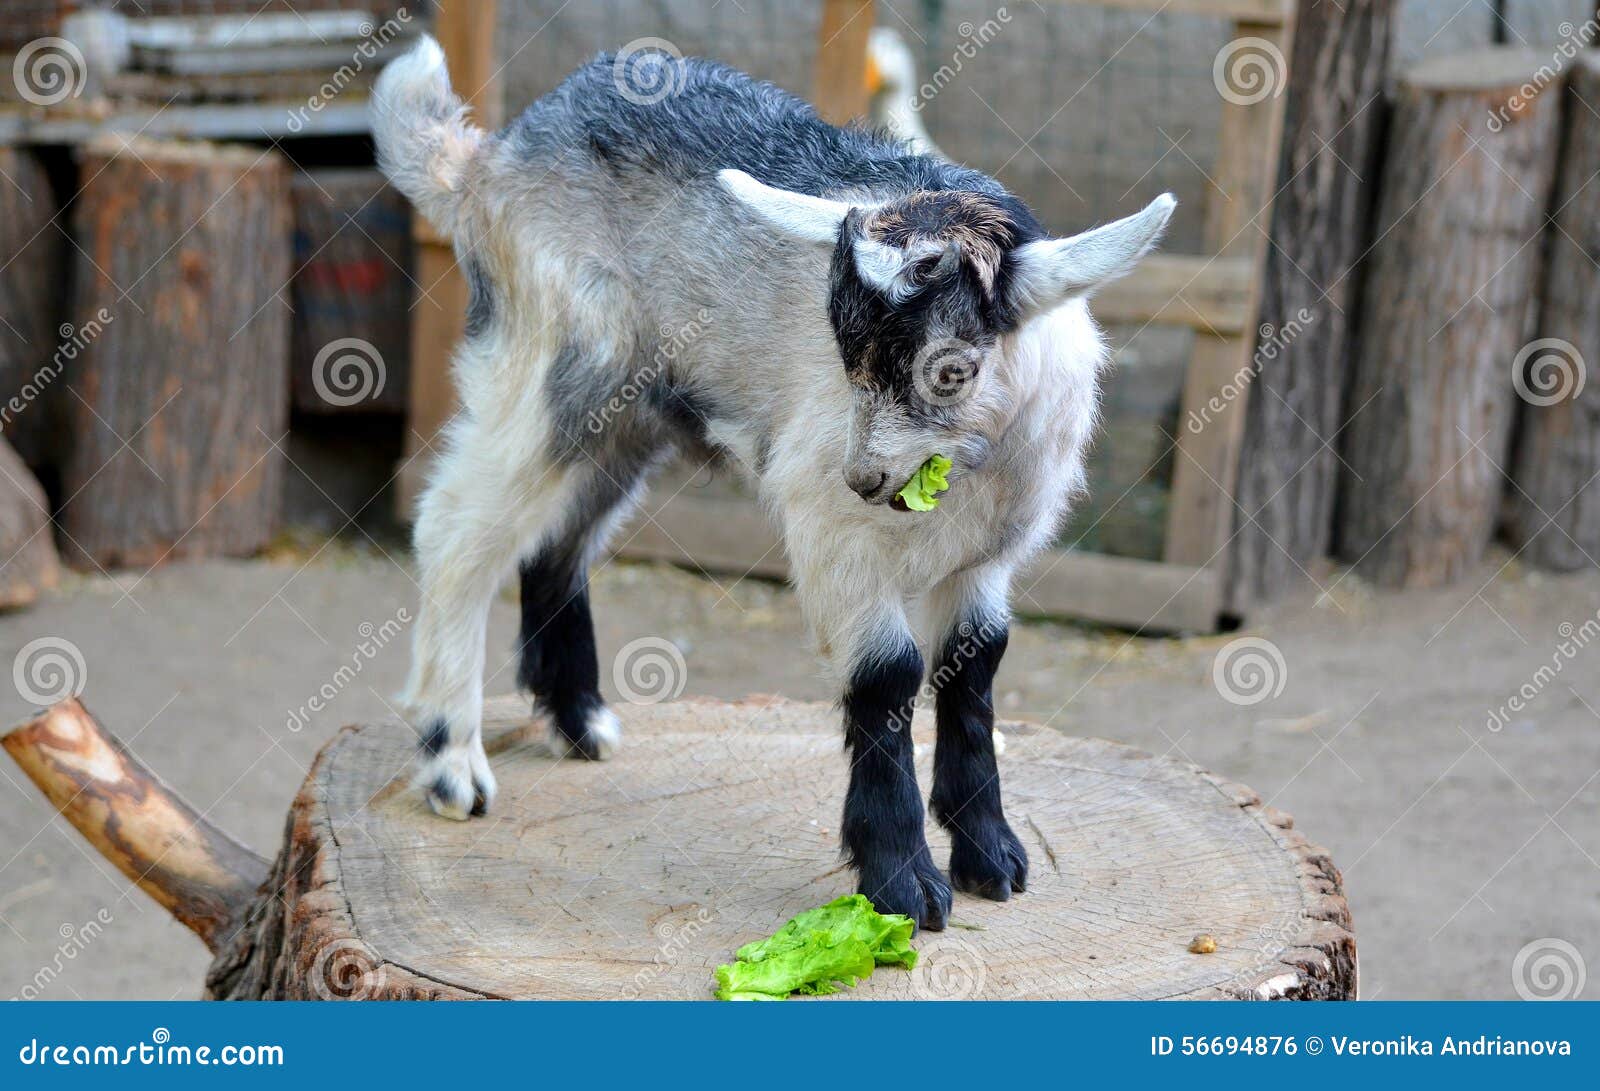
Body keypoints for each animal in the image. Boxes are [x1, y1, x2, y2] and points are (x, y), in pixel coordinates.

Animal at [371, 37, 1172, 930]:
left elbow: (976, 664)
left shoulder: (986, 557)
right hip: (548, 368)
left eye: (951, 370)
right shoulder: (834, 536)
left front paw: (991, 856)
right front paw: (902, 884)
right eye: (842, 350)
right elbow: (887, 672)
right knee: (455, 531)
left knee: (558, 542)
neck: (969, 467)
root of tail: (485, 164)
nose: (864, 476)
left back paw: (579, 721)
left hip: (632, 418)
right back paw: (453, 765)